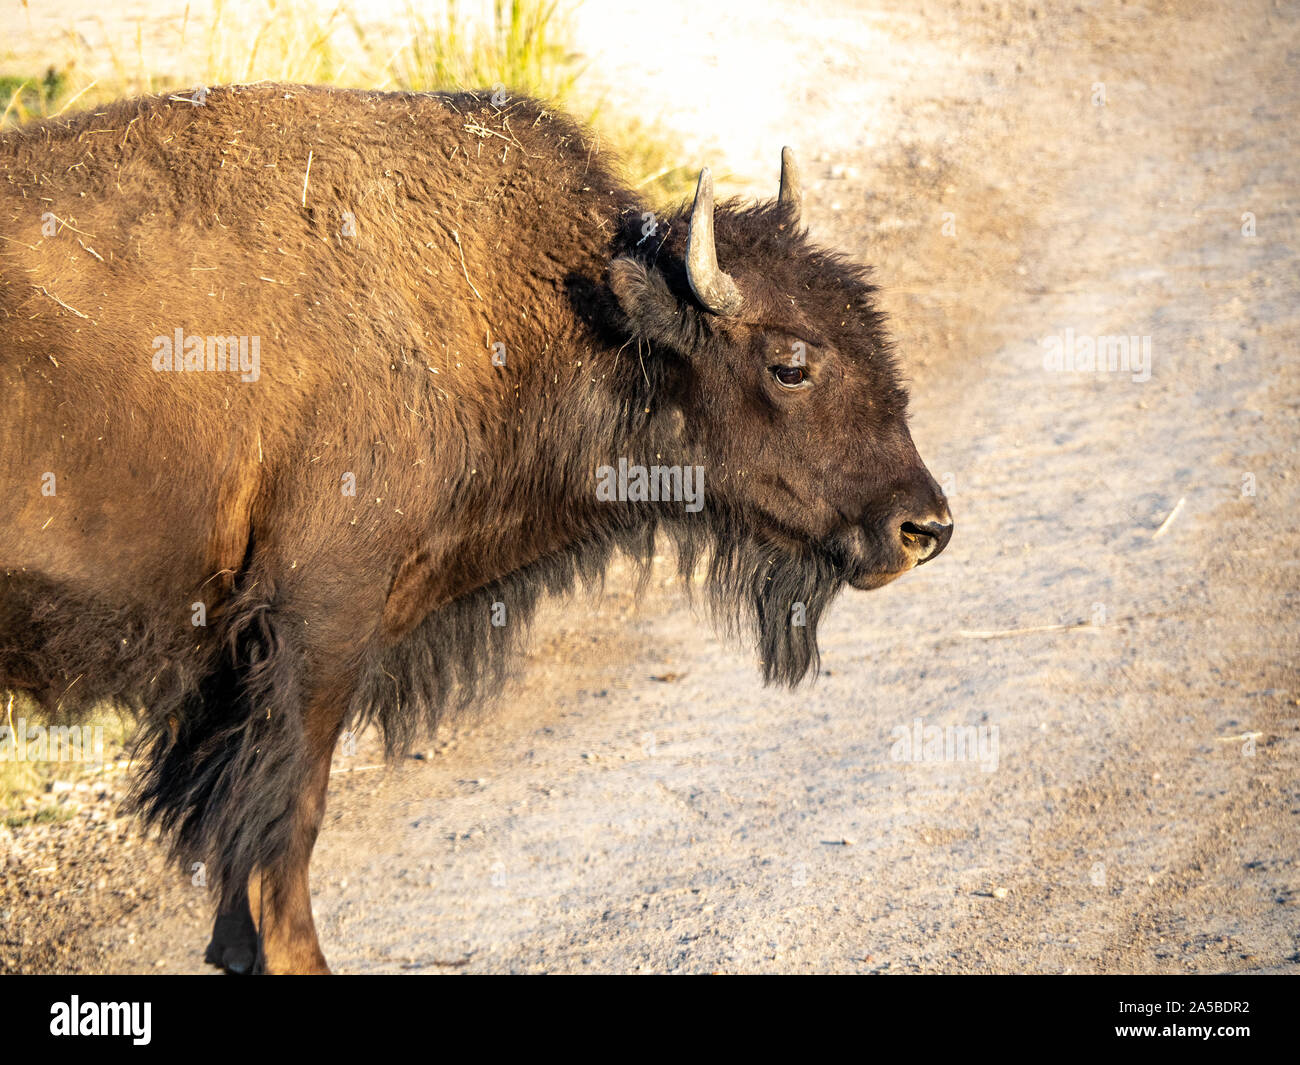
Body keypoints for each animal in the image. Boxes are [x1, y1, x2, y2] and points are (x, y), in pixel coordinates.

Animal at [0, 84, 951, 972]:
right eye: (790, 364)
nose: (924, 525)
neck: (541, 307)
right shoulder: (318, 622)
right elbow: (289, 810)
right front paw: (299, 956)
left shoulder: (236, 658)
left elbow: (239, 819)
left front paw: (237, 947)